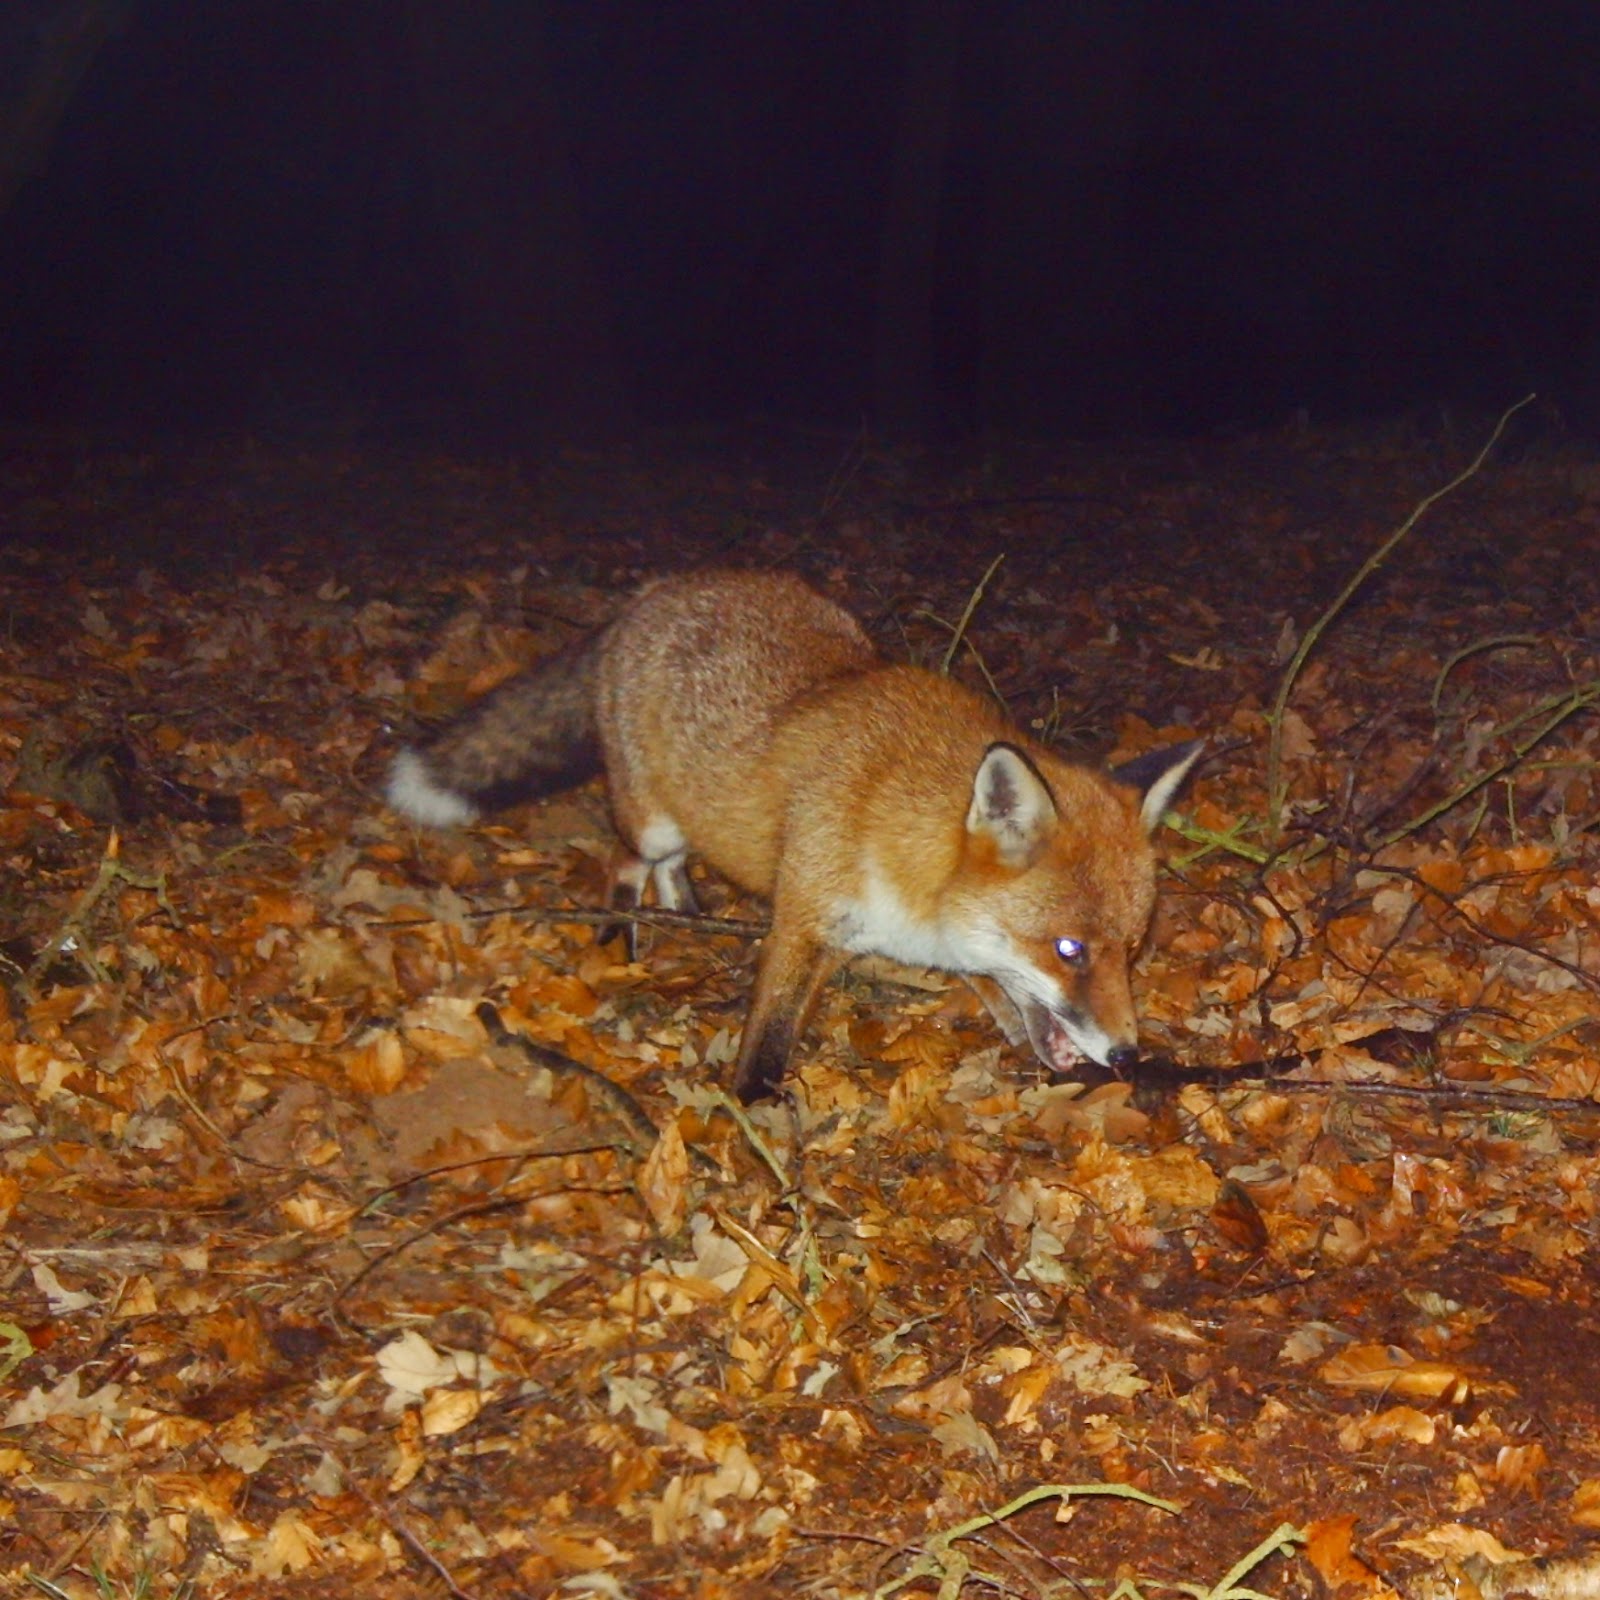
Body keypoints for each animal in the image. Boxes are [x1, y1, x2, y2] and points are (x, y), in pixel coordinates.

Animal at [387, 570, 1201, 1104]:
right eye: (1068, 950)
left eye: (1132, 950)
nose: (1127, 1053)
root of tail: (657, 592)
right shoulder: (807, 920)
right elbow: (770, 1032)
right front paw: (756, 1109)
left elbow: (995, 985)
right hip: (648, 820)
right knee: (626, 861)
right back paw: (623, 933)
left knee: (676, 863)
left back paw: (687, 908)